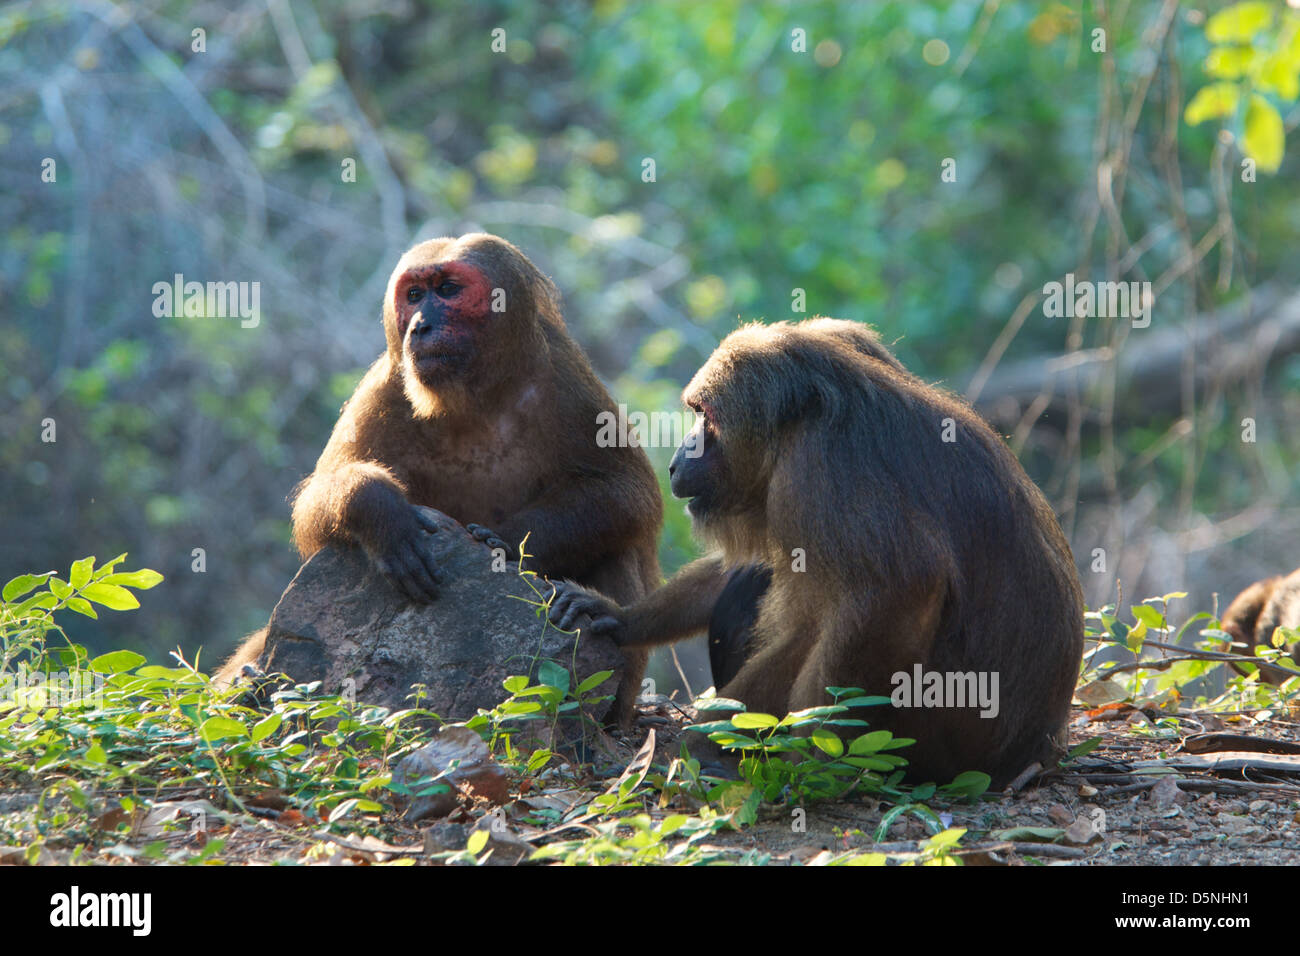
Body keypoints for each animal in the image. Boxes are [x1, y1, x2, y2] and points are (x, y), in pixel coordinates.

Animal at [215, 234, 663, 725]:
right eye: (414, 295)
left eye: (448, 290)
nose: (420, 327)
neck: (478, 394)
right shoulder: (386, 386)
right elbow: (315, 520)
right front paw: (379, 511)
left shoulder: (563, 379)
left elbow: (627, 492)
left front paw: (507, 541)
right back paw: (247, 684)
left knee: (615, 543)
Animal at [550, 318, 1085, 786]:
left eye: (704, 417)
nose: (679, 459)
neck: (809, 415)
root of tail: (1036, 754)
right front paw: (624, 619)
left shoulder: (814, 470)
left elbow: (903, 588)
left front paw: (800, 757)